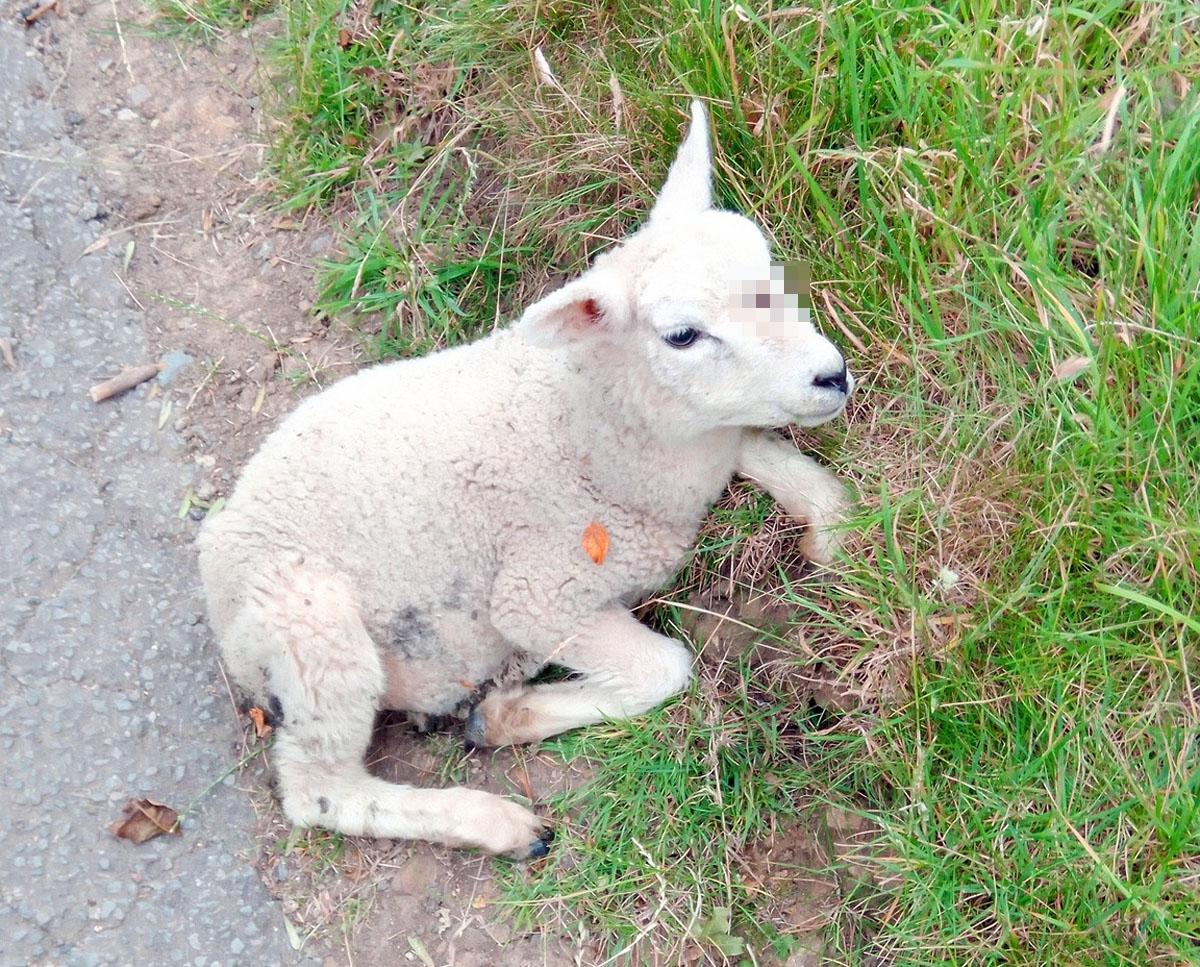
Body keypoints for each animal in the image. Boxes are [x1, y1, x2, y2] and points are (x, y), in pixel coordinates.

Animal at [197, 101, 853, 860]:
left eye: (772, 274)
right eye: (683, 335)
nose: (832, 375)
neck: (585, 422)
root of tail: (216, 564)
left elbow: (777, 459)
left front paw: (829, 525)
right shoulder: (539, 595)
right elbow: (666, 667)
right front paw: (510, 716)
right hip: (309, 631)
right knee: (317, 789)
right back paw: (496, 820)